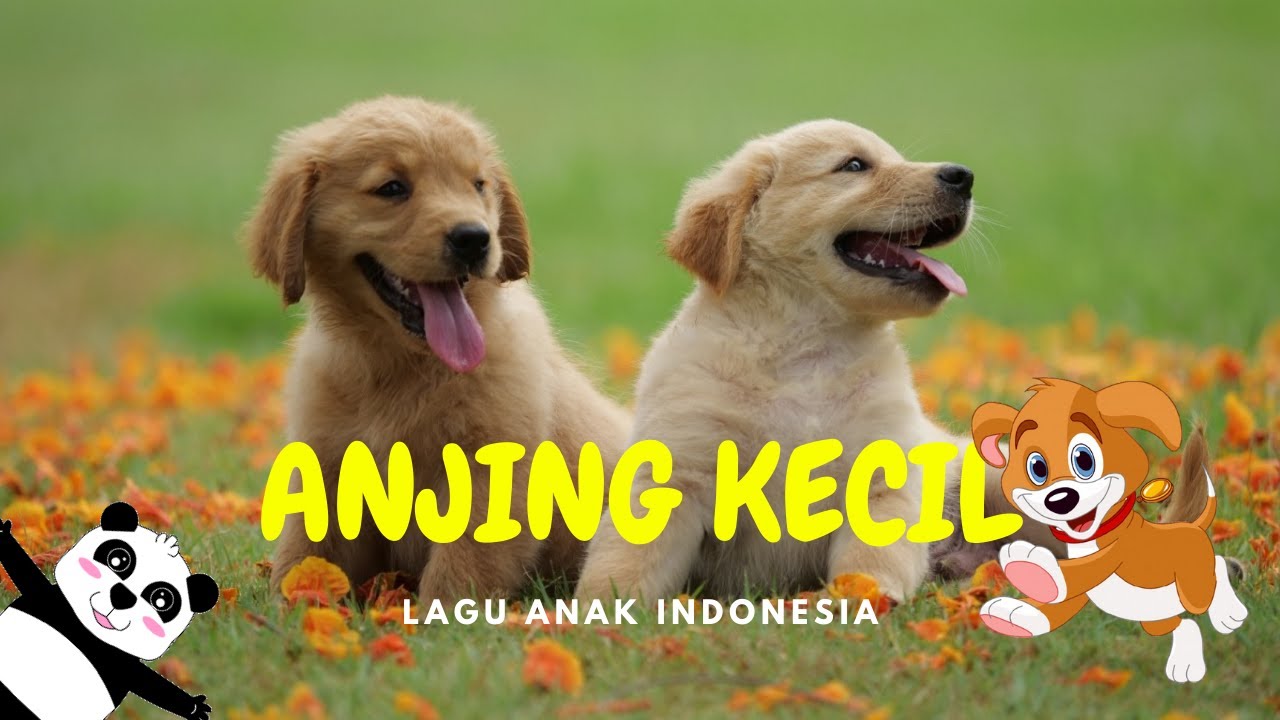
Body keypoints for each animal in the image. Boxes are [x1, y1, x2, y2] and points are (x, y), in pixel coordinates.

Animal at [0, 501, 218, 720]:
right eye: (118, 559)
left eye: (161, 600)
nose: (122, 596)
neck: (88, 631)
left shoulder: (122, 663)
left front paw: (195, 707)